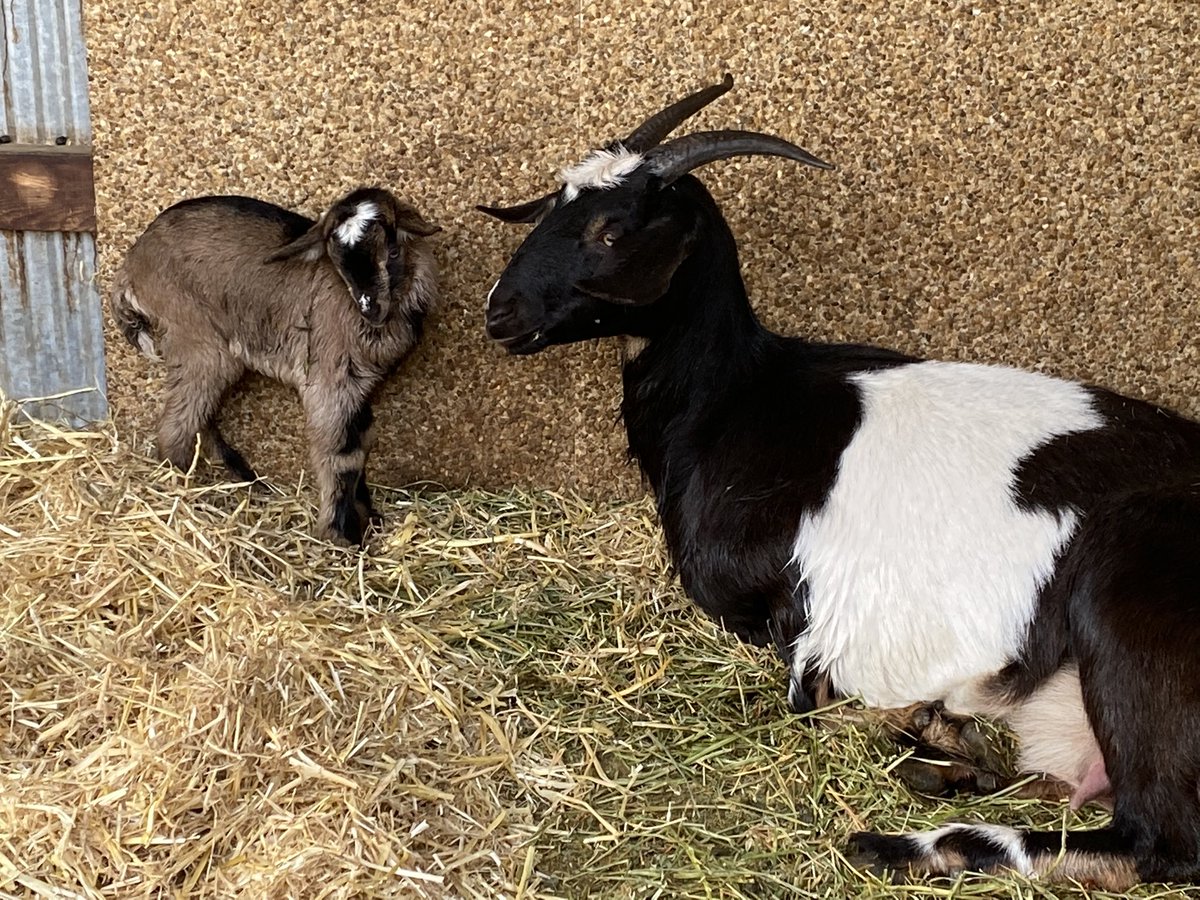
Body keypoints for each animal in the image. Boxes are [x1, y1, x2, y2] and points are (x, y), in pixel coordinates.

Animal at [111, 187, 440, 545]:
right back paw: (184, 492)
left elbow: (362, 438)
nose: (370, 308)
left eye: (392, 252)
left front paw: (367, 517)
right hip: (197, 337)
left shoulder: (361, 384)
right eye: (339, 263)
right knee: (178, 419)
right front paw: (342, 535)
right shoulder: (329, 379)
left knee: (197, 412)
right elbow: (341, 451)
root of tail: (131, 265)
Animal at [478, 74, 1200, 889]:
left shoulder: (801, 606)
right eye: (555, 204)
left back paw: (908, 835)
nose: (499, 311)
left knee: (1158, 840)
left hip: (1128, 610)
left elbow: (808, 696)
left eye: (609, 229)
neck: (735, 401)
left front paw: (921, 726)